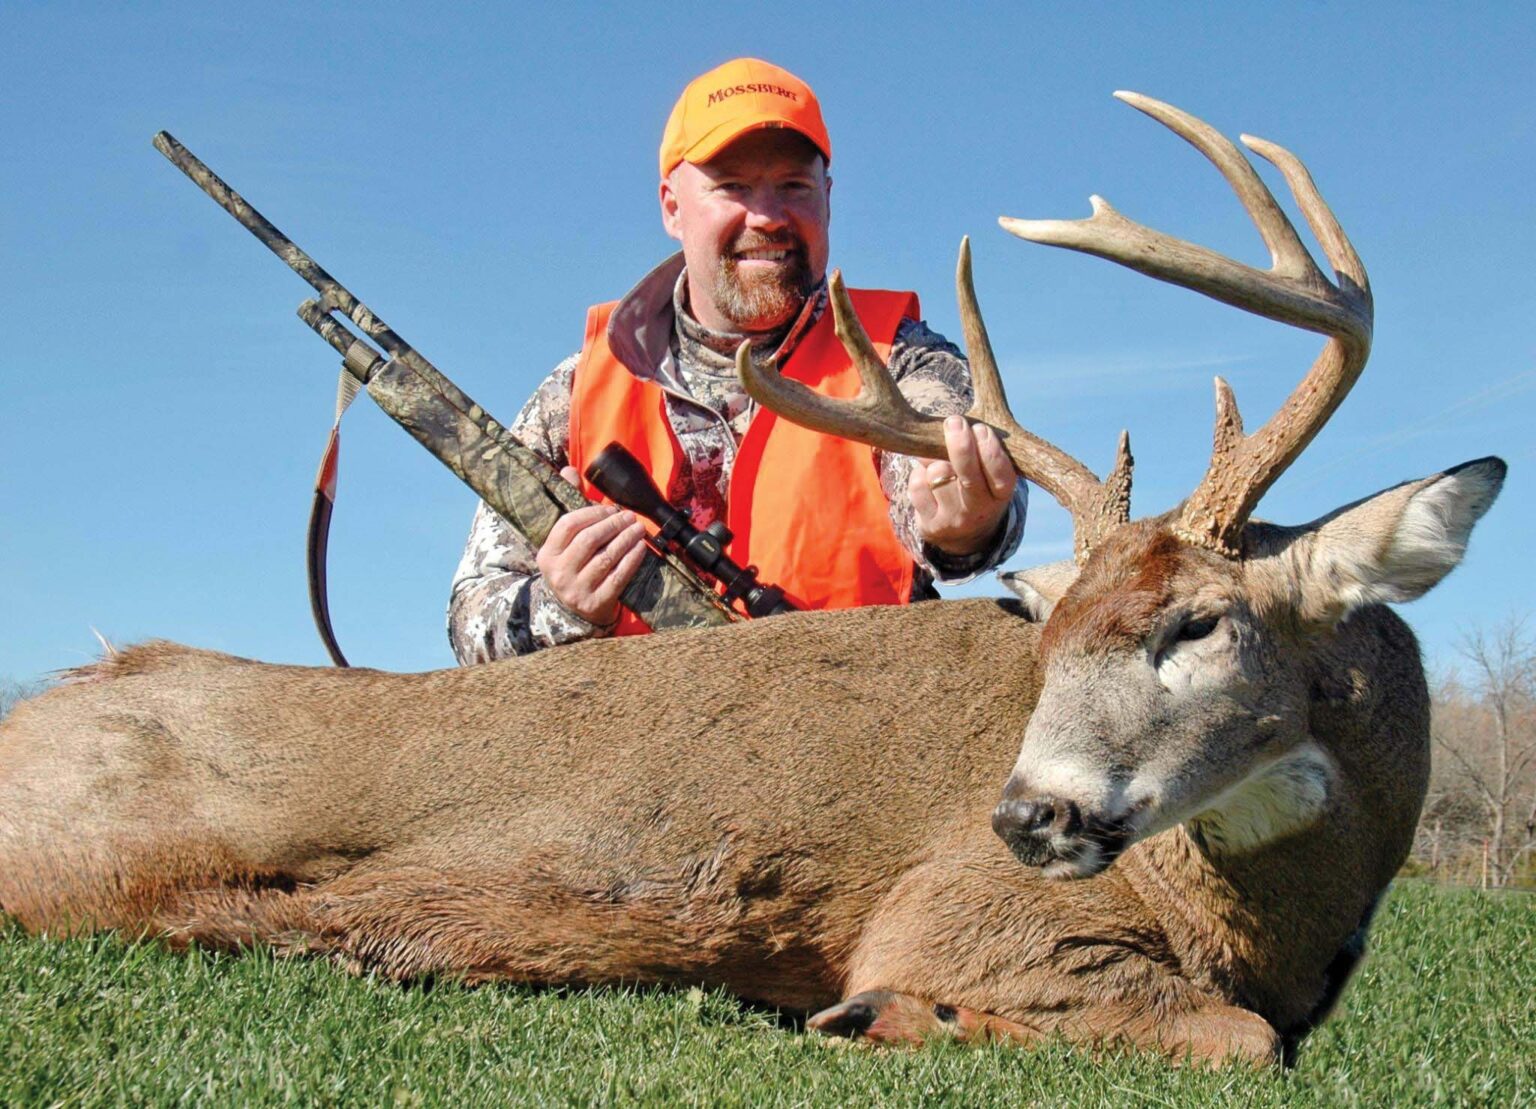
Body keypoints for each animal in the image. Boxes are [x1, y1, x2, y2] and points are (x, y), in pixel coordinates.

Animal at [0, 94, 1505, 1066]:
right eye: (1052, 633)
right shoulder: (960, 910)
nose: (1026, 812)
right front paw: (898, 1014)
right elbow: (1240, 1041)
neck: (1283, 915)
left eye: (1198, 622)